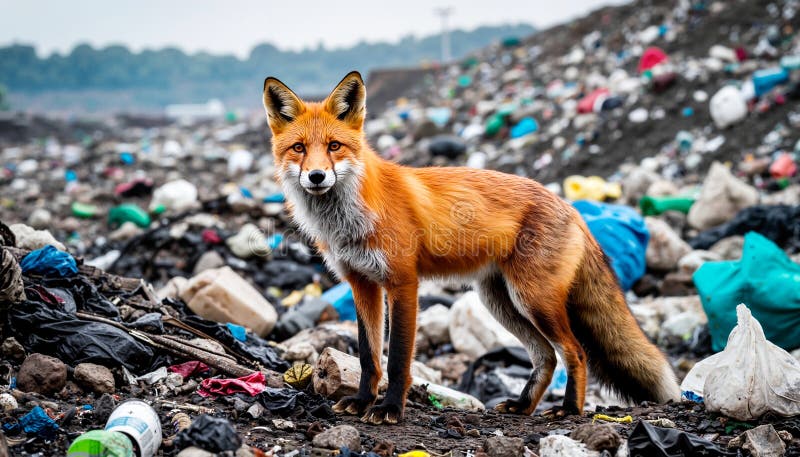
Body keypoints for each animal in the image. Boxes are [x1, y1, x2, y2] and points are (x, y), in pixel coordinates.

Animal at [261, 71, 681, 425]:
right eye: (299, 148)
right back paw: (524, 406)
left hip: (534, 300)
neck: (351, 217)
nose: (317, 176)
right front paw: (364, 401)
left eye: (334, 146)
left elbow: (397, 360)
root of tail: (571, 206)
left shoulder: (403, 283)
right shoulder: (362, 284)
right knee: (545, 356)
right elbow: (368, 357)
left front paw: (390, 409)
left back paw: (568, 410)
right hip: (501, 302)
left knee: (574, 351)